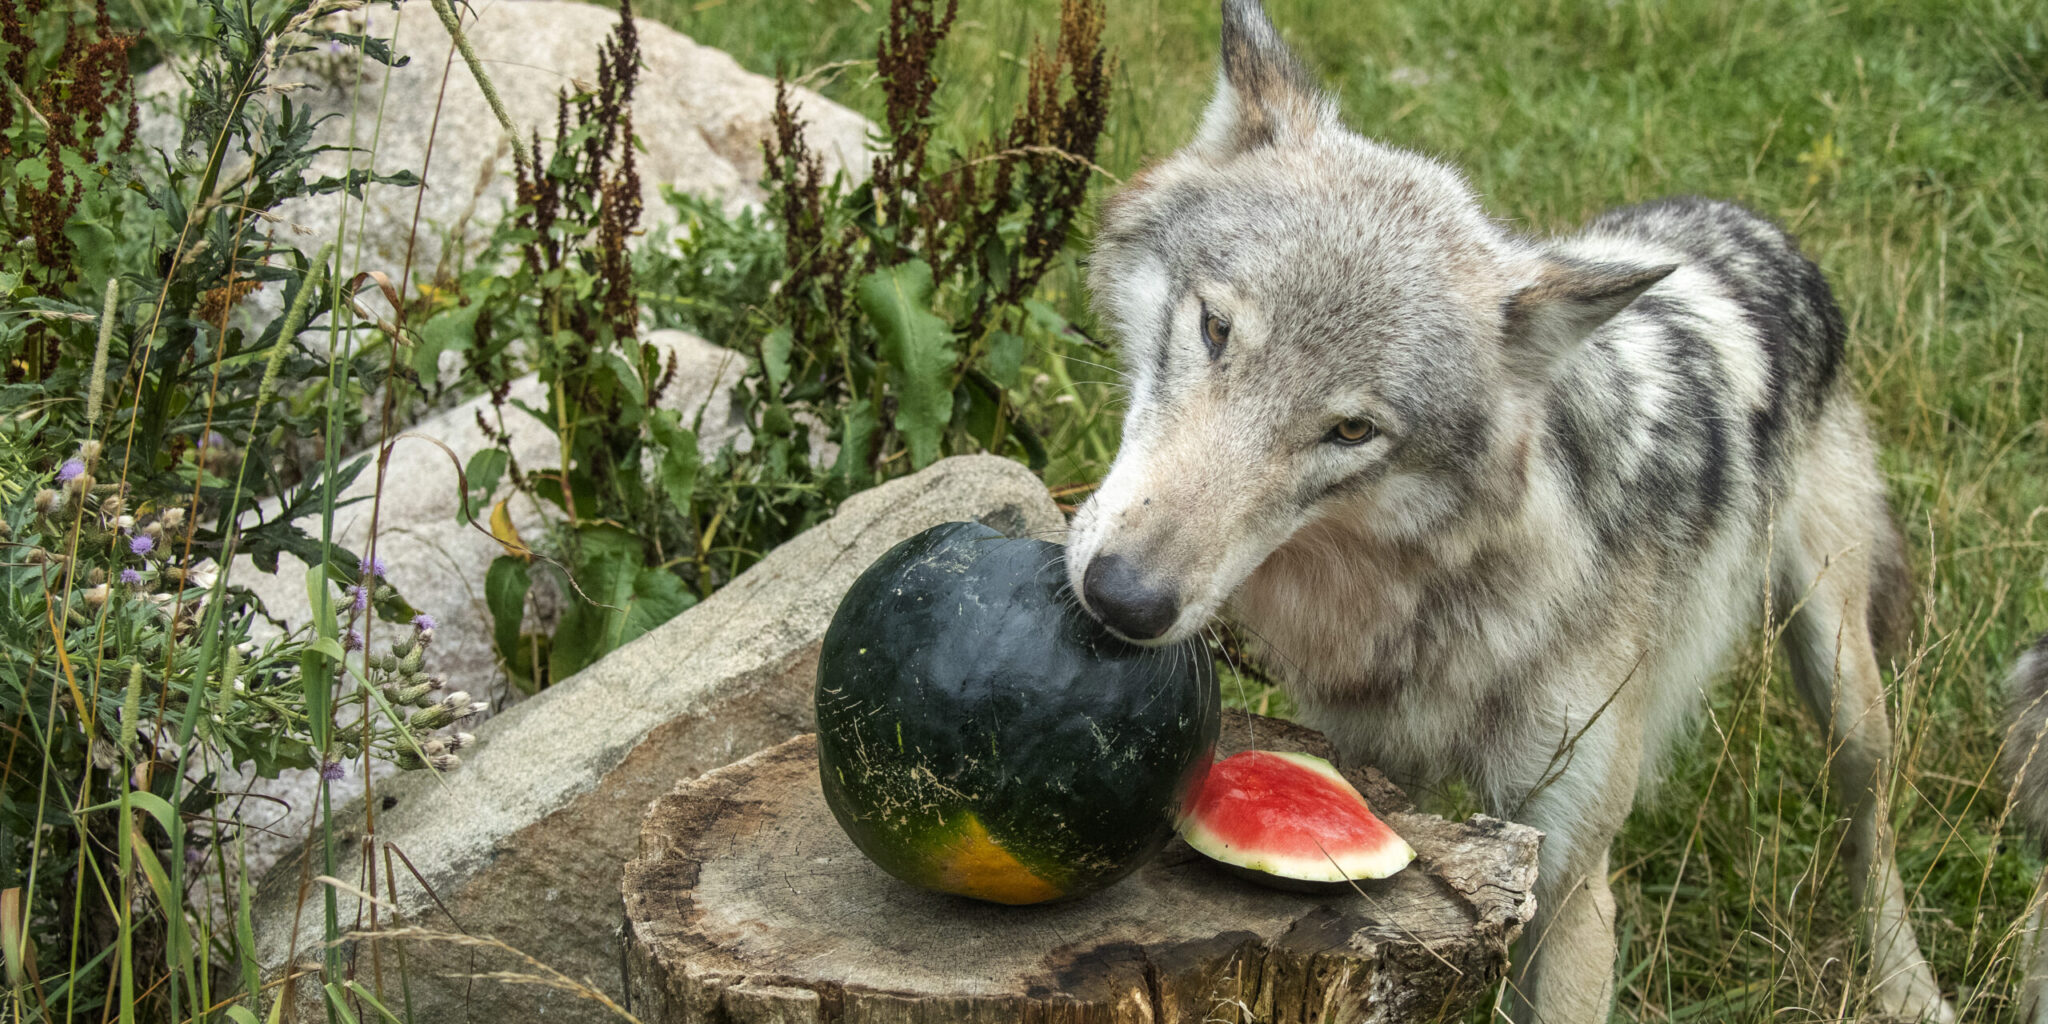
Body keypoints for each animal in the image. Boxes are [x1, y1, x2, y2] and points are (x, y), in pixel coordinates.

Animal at [1062, 2, 1954, 1020]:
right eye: (1216, 330)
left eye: (1353, 430)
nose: (1124, 600)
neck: (1428, 593)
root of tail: (1752, 221)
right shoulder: (1367, 764)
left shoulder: (1570, 882)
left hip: (1842, 681)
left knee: (1872, 823)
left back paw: (1907, 984)